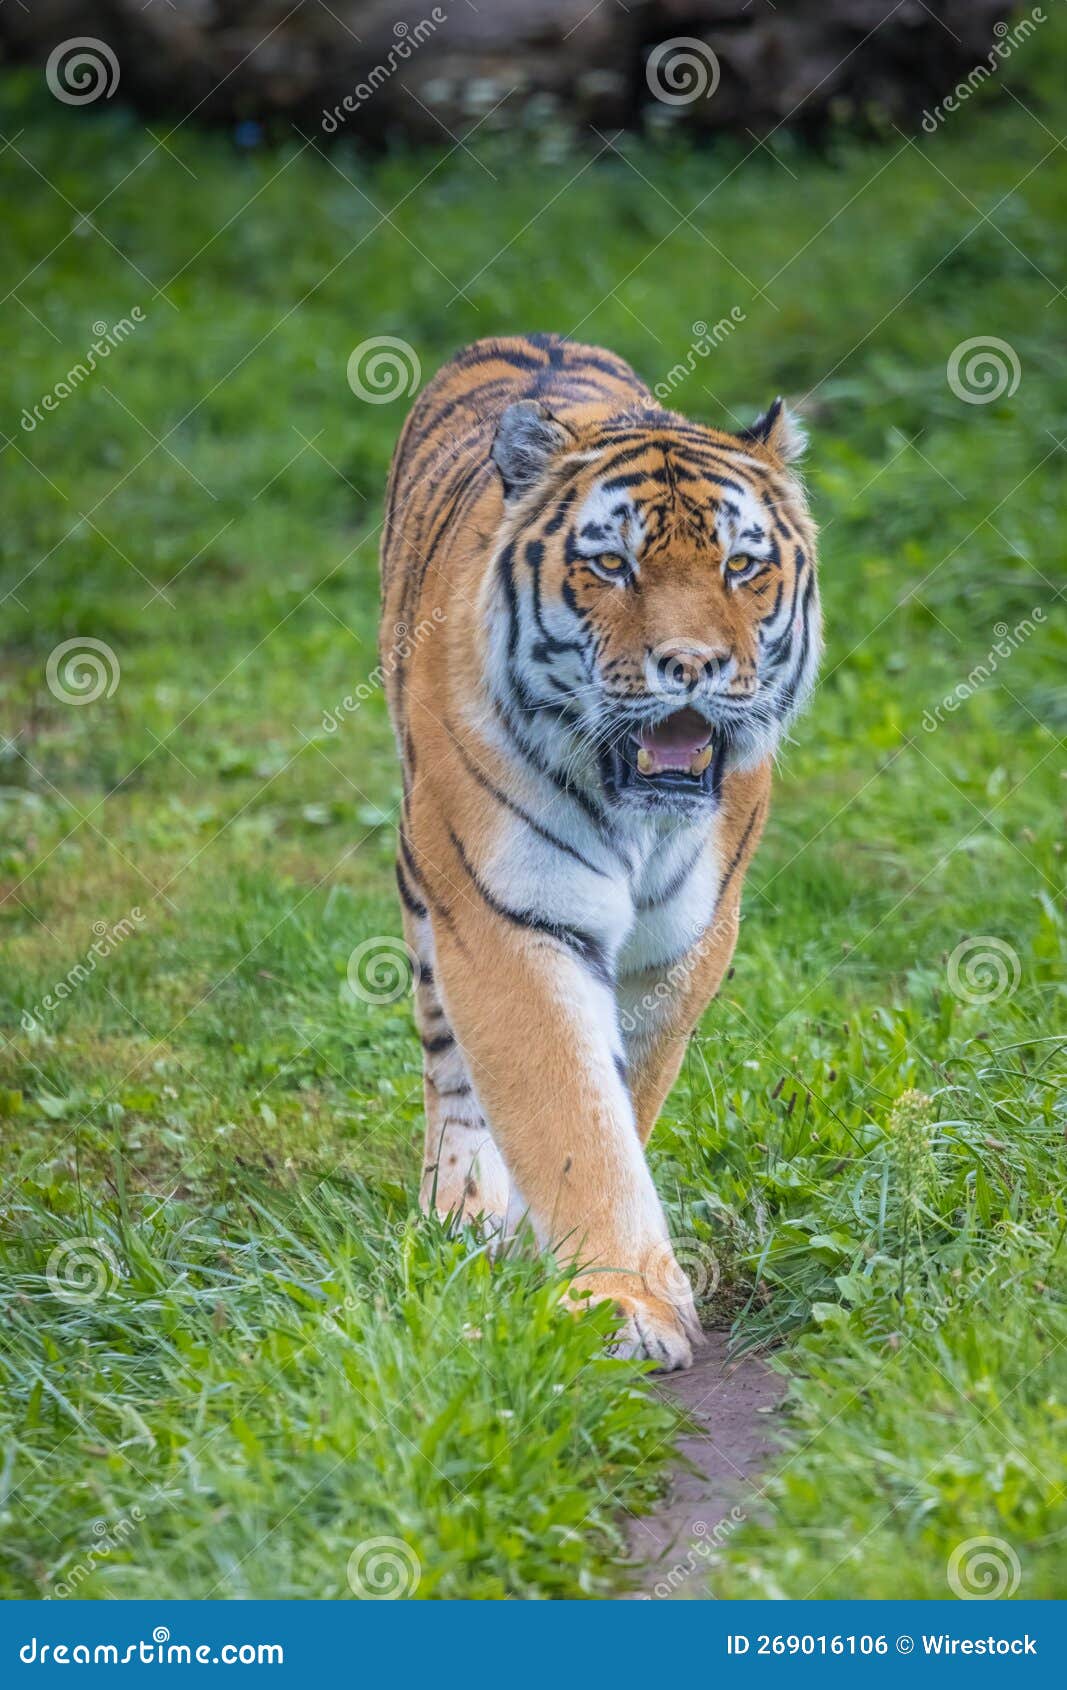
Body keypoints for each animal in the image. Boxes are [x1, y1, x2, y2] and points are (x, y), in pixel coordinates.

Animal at [378, 333, 819, 1370]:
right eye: (611, 565)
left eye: (742, 565)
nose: (692, 665)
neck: (640, 817)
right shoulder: (508, 917)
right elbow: (569, 1112)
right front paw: (621, 1301)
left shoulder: (683, 943)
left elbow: (622, 1101)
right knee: (450, 1064)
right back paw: (462, 1212)